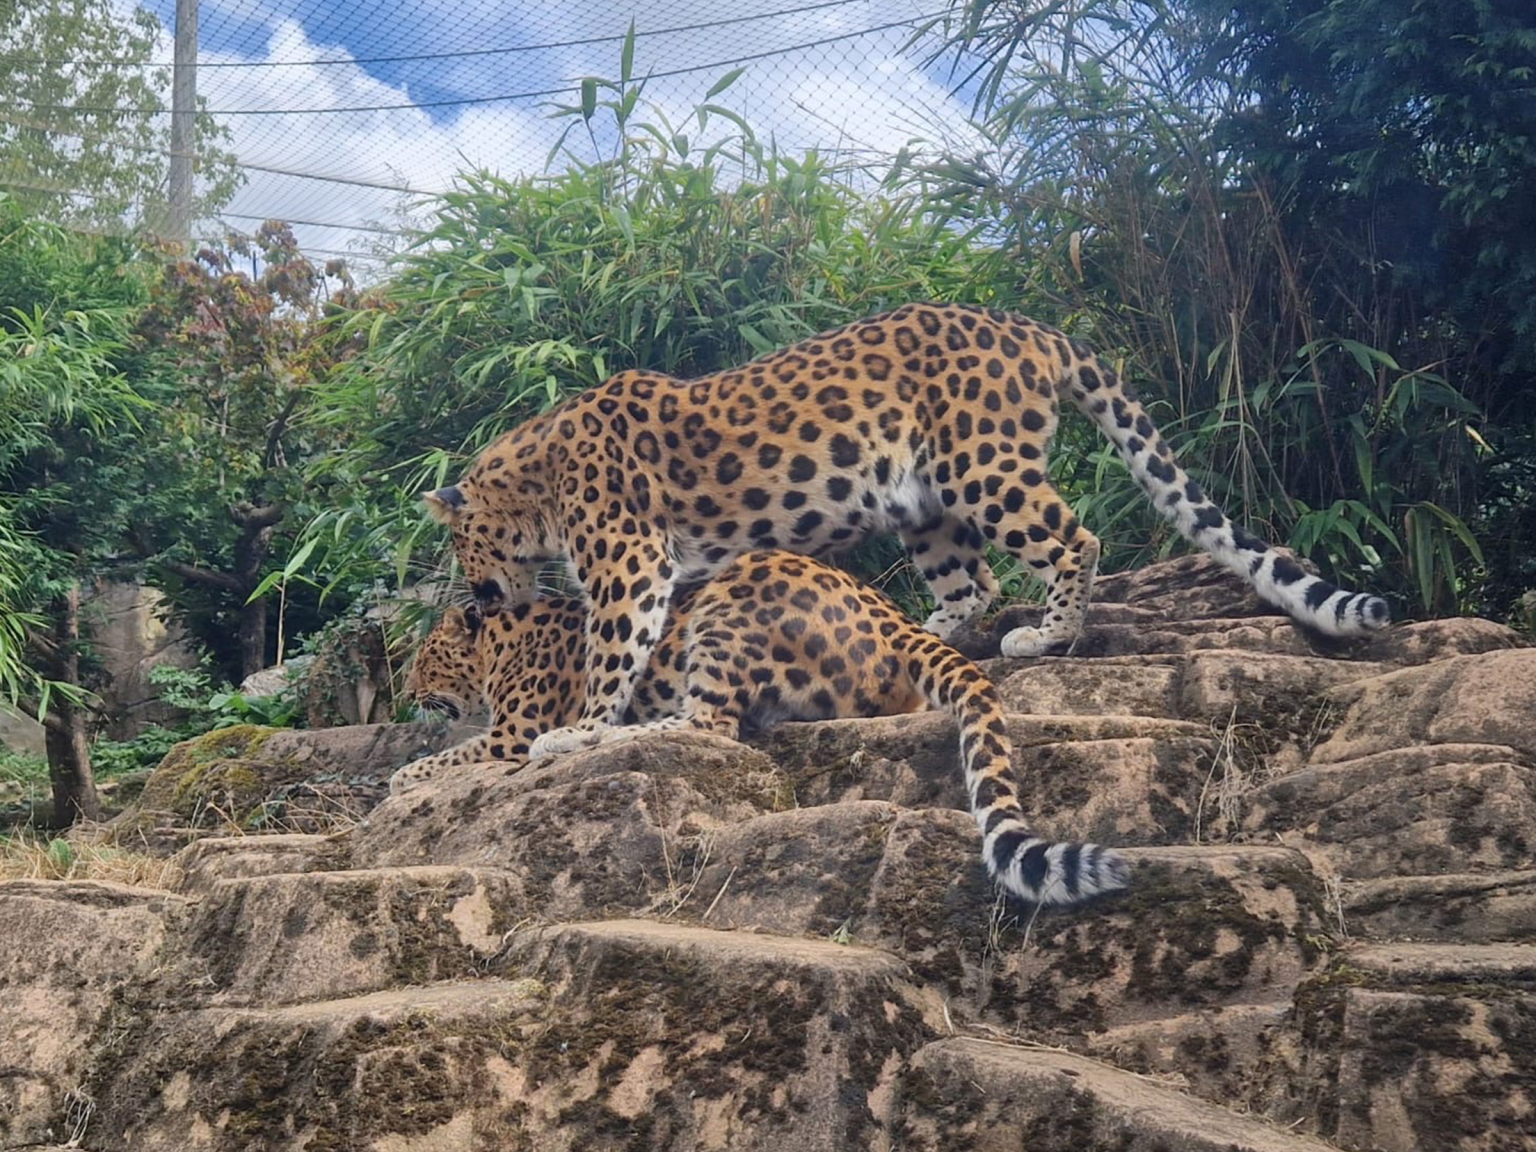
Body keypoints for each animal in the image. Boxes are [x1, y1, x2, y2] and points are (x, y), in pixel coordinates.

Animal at [391, 550, 1130, 908]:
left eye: (423, 659)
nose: (403, 693)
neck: (501, 645)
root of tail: (892, 616)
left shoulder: (513, 728)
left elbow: (448, 757)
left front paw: (400, 777)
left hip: (726, 606)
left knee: (710, 724)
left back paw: (595, 737)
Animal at [423, 302, 1389, 760]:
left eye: (460, 552)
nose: (478, 598)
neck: (534, 479)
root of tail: (1027, 326)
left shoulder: (629, 563)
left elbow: (611, 652)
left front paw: (578, 730)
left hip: (981, 466)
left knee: (1071, 539)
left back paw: (1048, 636)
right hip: (923, 501)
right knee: (974, 582)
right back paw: (935, 632)